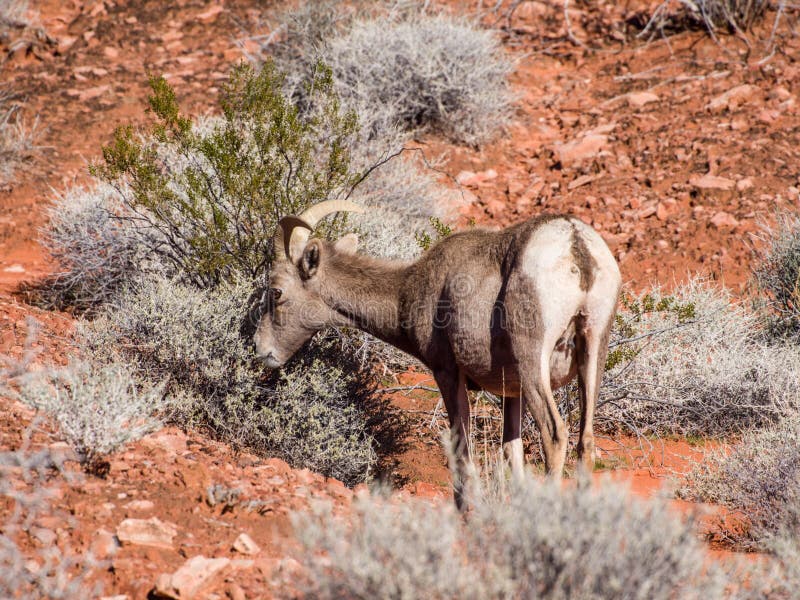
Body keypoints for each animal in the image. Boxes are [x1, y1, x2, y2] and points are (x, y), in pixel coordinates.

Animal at [254, 200, 621, 508]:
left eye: (277, 291)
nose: (261, 349)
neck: (409, 291)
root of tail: (575, 244)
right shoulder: (511, 392)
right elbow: (511, 453)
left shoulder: (447, 374)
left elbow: (461, 450)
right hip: (593, 353)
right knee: (586, 441)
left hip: (534, 363)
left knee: (555, 434)